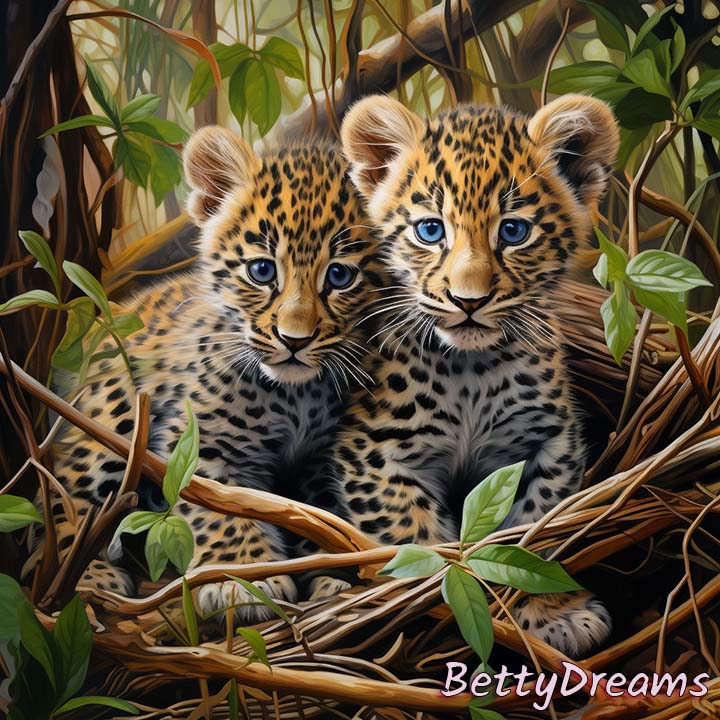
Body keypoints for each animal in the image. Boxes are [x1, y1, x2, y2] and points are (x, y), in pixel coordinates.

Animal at [46, 126, 383, 620]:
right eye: (261, 270)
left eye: (340, 276)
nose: (294, 340)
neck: (297, 397)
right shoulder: (205, 441)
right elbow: (224, 505)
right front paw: (243, 583)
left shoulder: (323, 458)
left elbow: (325, 514)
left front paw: (332, 573)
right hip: (108, 424)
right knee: (64, 497)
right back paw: (87, 578)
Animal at [330, 93, 620, 658]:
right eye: (429, 230)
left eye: (513, 231)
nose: (468, 300)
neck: (470, 371)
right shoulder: (372, 455)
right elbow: (411, 534)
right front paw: (438, 592)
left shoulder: (550, 441)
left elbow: (536, 530)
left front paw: (554, 613)